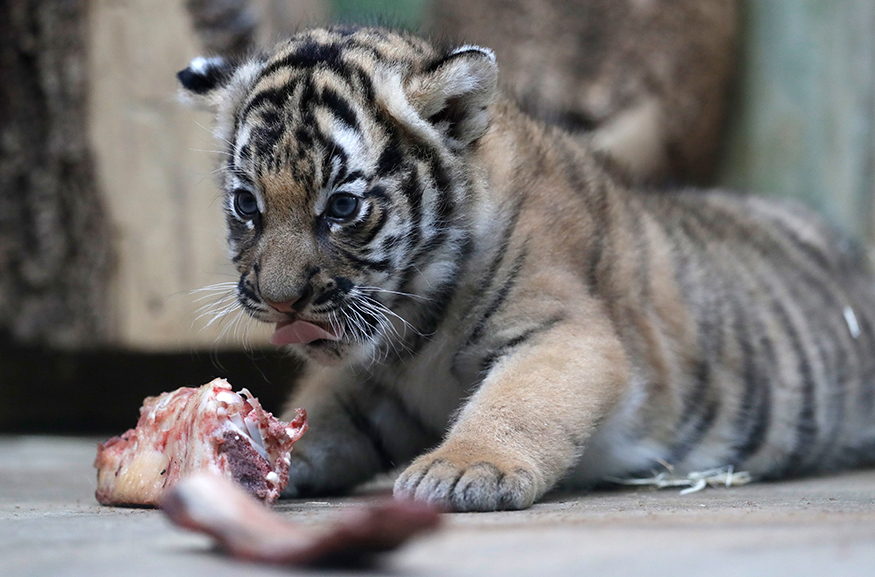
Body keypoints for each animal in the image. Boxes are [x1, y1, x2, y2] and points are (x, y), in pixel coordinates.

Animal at [178, 26, 875, 512]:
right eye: (247, 204)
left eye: (342, 207)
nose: (280, 301)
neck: (412, 320)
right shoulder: (370, 384)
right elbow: (317, 420)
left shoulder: (567, 333)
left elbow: (517, 403)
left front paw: (462, 470)